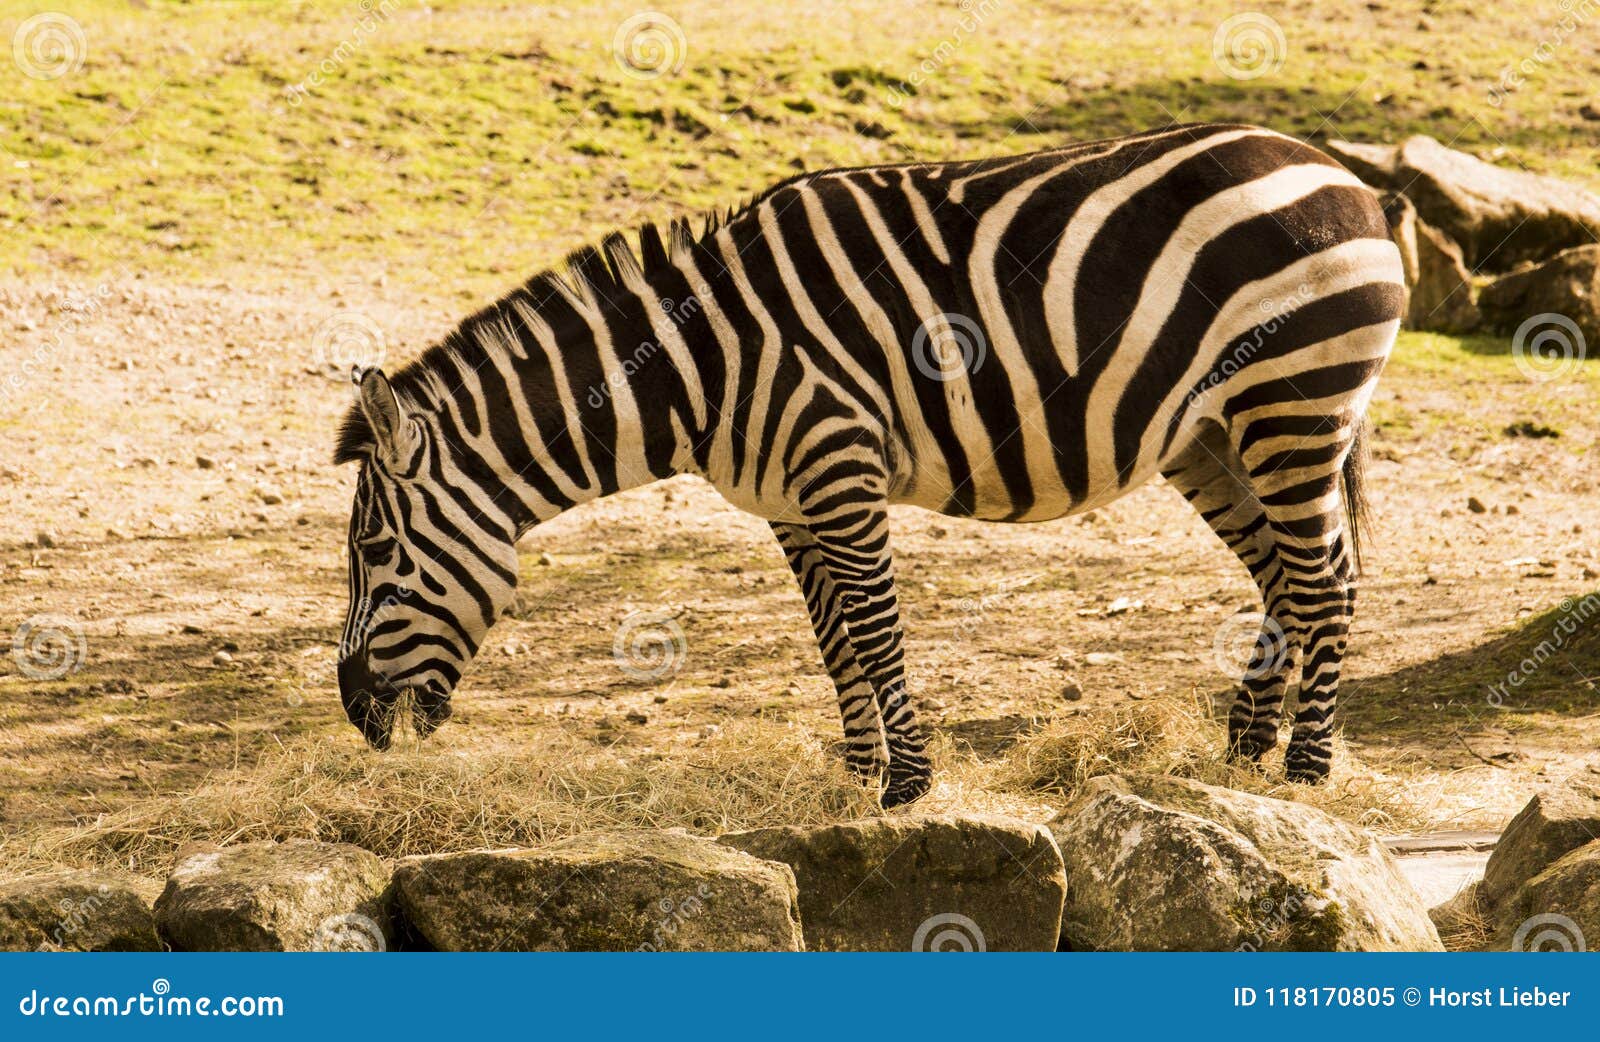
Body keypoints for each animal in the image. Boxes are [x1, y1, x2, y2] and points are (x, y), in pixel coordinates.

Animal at [334, 122, 1404, 808]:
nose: (352, 714)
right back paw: (1244, 754)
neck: (700, 361)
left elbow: (879, 631)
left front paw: (908, 786)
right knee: (1285, 576)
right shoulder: (788, 502)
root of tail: (1342, 173)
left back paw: (1307, 772)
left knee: (1328, 579)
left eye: (377, 553)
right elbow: (834, 639)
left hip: (1294, 397)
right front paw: (851, 778)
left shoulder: (838, 468)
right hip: (1212, 433)